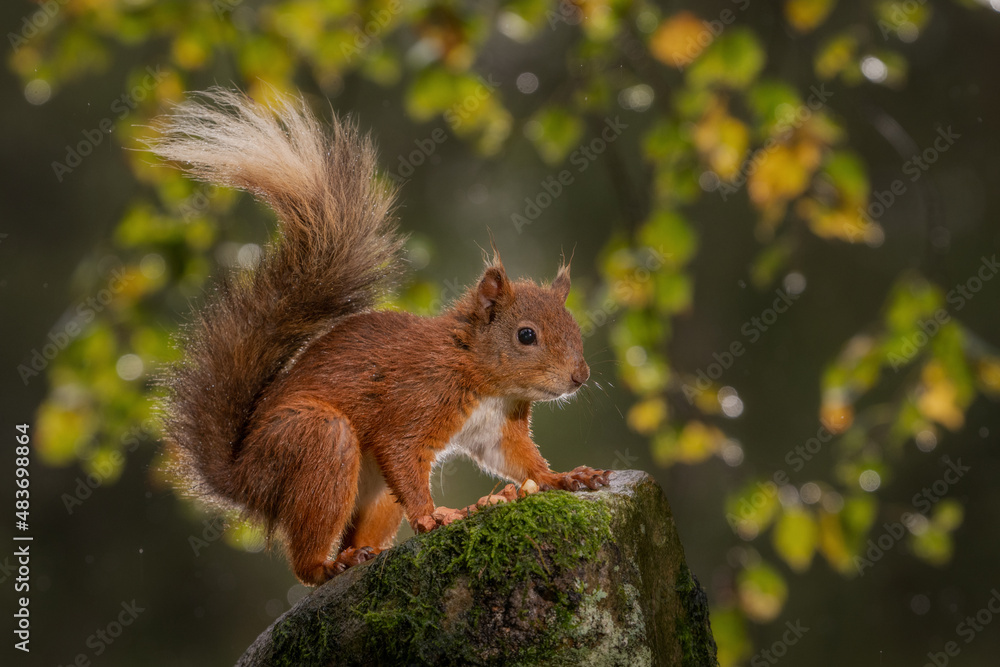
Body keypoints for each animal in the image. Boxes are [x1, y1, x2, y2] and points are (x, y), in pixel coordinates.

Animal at [149, 89, 610, 586]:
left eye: (575, 328)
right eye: (526, 335)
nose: (580, 377)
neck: (479, 373)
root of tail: (243, 478)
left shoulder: (496, 428)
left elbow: (520, 460)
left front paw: (565, 478)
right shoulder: (414, 404)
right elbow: (402, 452)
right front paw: (433, 517)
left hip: (374, 493)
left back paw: (363, 552)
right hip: (316, 443)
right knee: (307, 564)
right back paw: (331, 563)